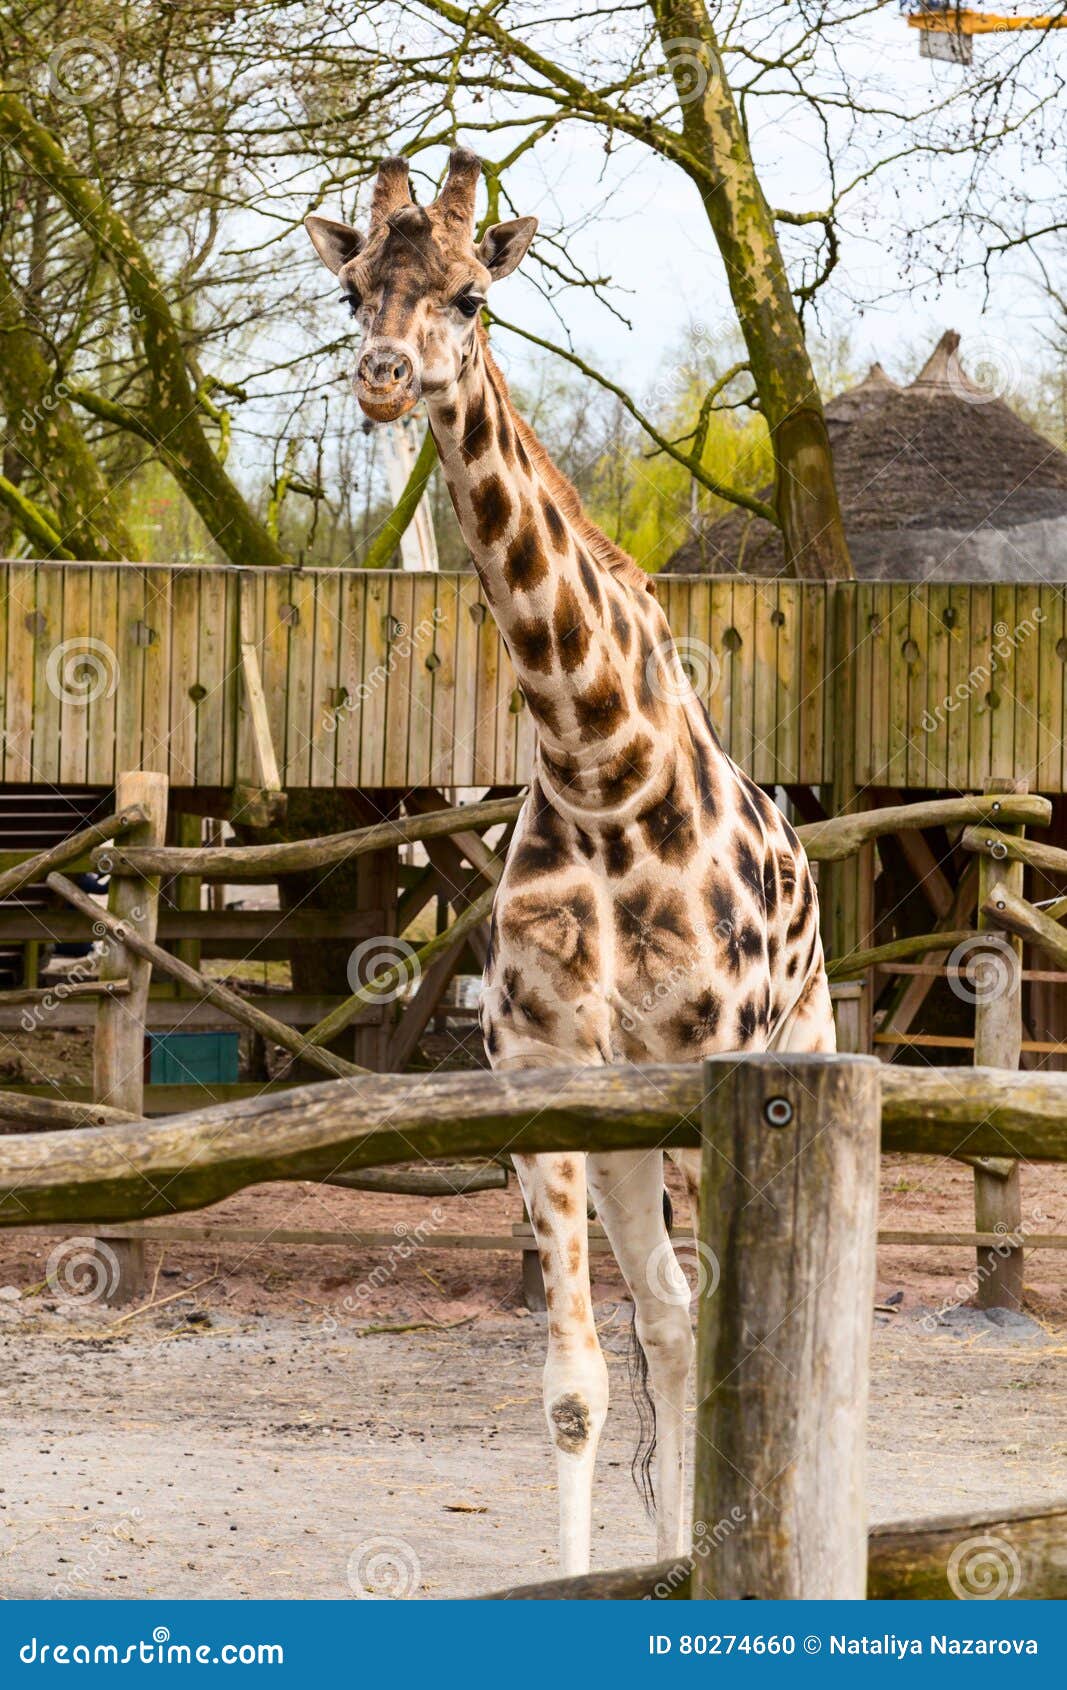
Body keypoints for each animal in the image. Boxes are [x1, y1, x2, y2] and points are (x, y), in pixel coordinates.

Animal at [306, 150, 837, 1577]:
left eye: (473, 295)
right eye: (354, 285)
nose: (383, 375)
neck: (602, 762)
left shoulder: (717, 1069)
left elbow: (721, 1334)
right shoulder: (541, 1071)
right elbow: (575, 1382)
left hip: (802, 1045)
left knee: (709, 1312)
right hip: (620, 1126)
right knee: (659, 1312)